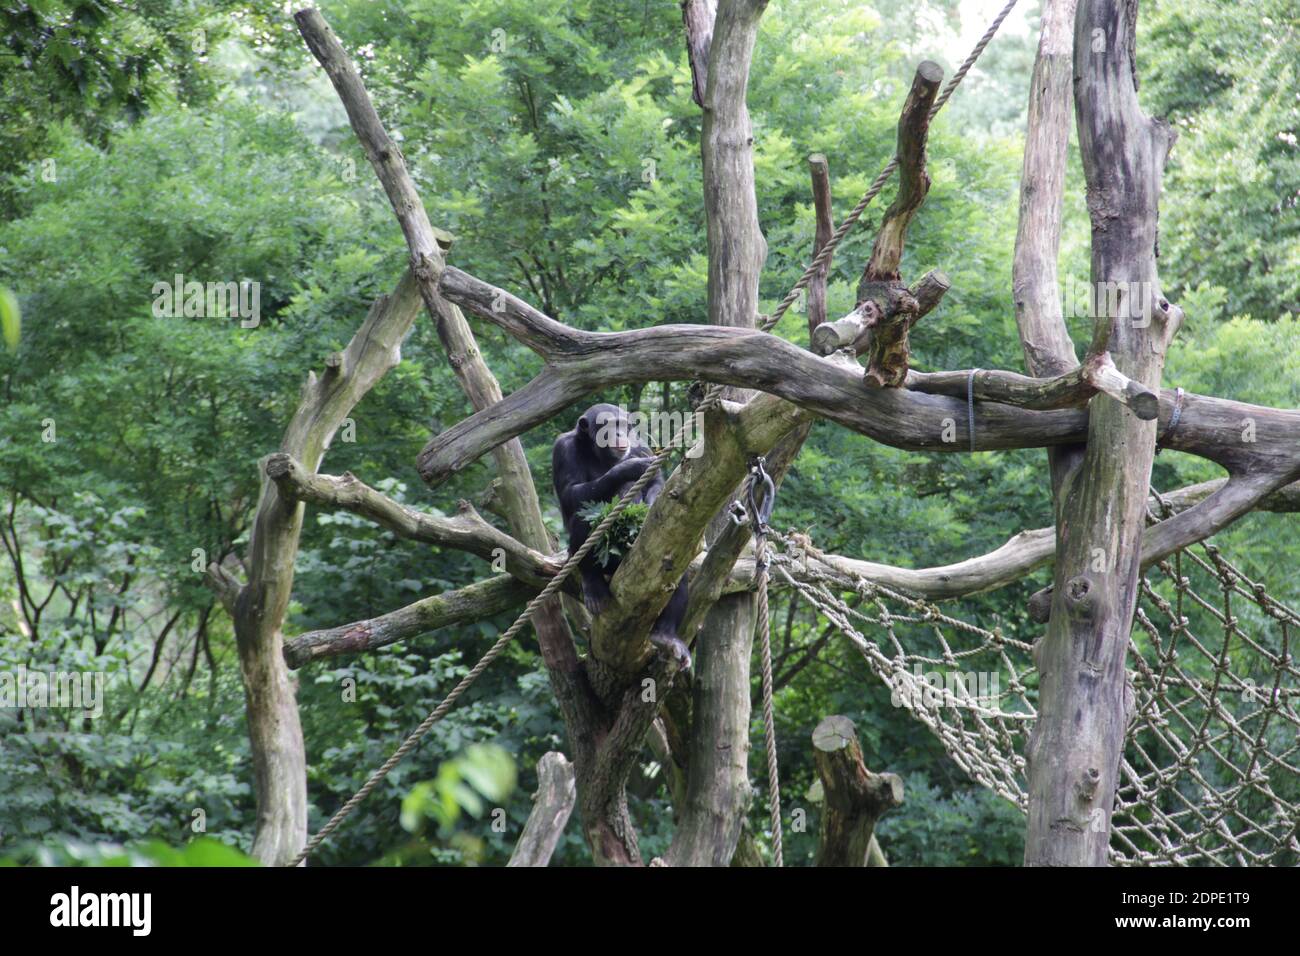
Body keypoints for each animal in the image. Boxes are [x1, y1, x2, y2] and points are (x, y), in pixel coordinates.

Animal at [552, 403, 691, 668]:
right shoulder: (562, 449)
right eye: (607, 426)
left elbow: (656, 483)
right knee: (582, 519)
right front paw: (626, 469)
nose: (618, 434)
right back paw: (593, 585)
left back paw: (666, 636)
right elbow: (570, 493)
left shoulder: (641, 445)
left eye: (622, 425)